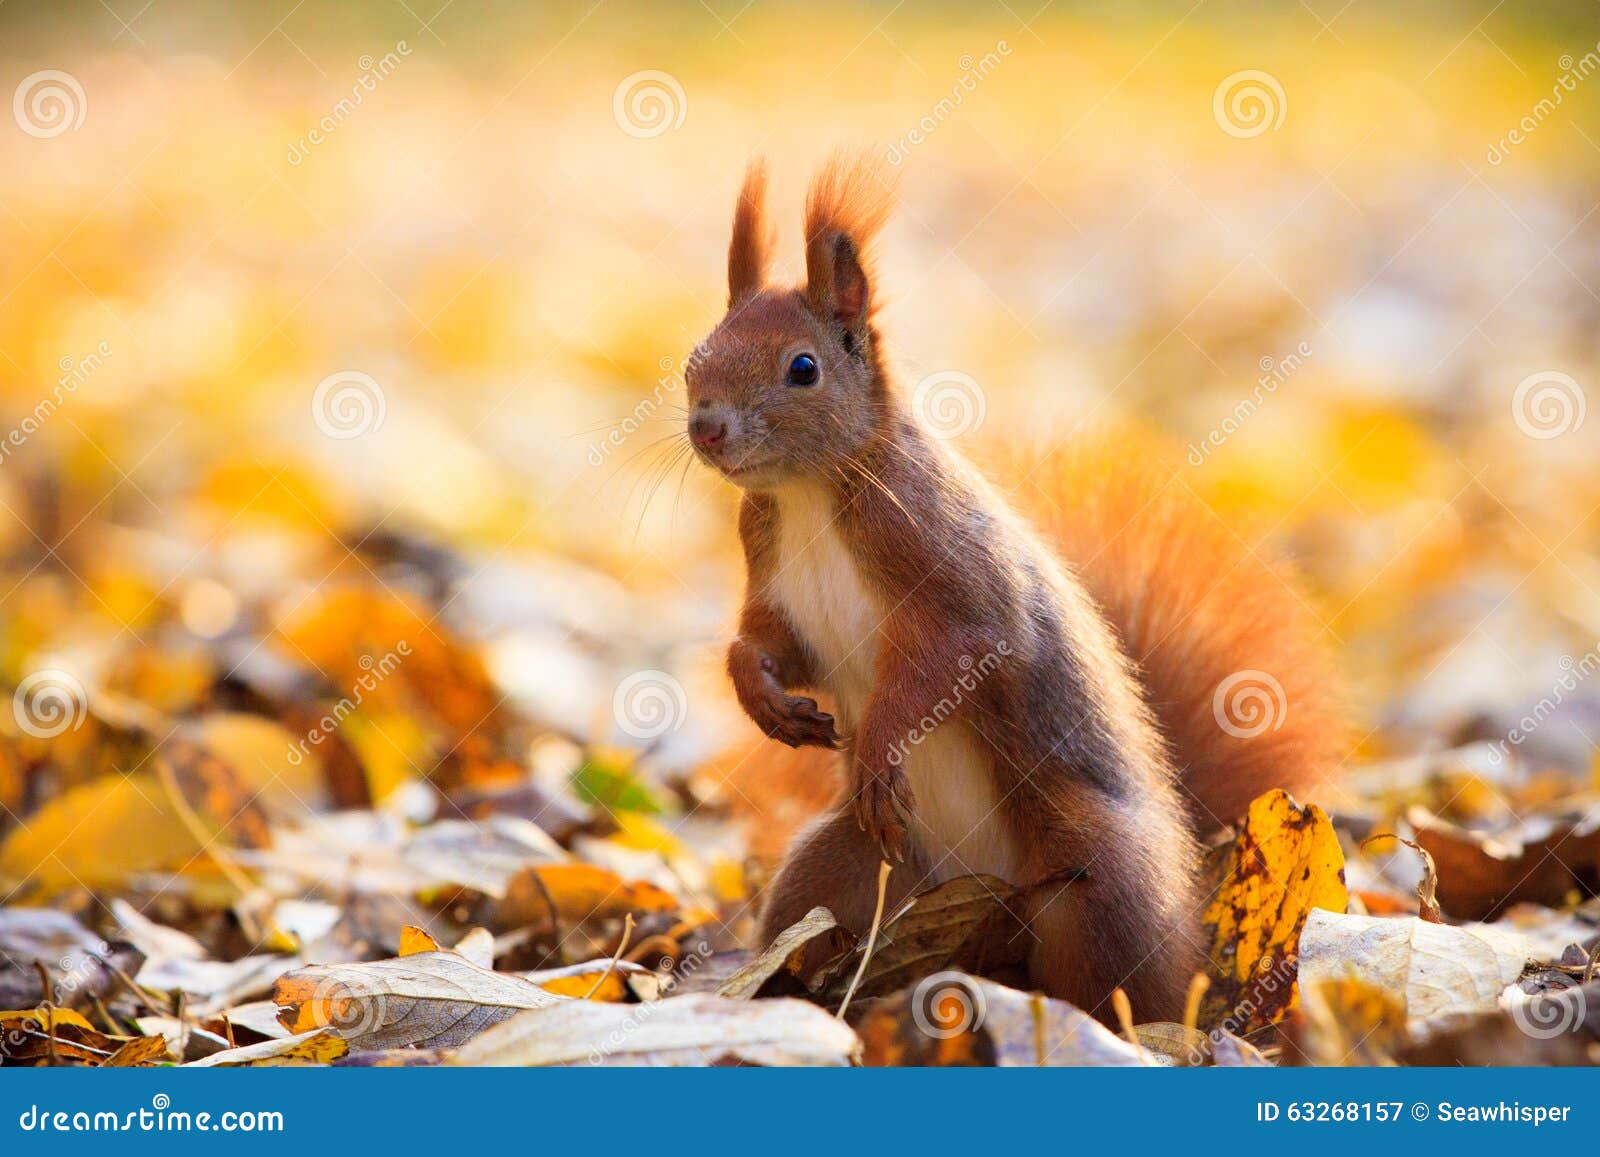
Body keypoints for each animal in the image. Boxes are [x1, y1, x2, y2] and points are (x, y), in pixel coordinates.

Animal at [683, 154, 1344, 1022]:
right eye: (694, 357)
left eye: (803, 368)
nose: (706, 427)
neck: (809, 494)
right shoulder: (775, 582)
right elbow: (765, 645)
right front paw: (765, 699)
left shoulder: (957, 580)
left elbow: (949, 659)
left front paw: (882, 742)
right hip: (848, 869)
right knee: (815, 910)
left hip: (1092, 888)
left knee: (1122, 981)